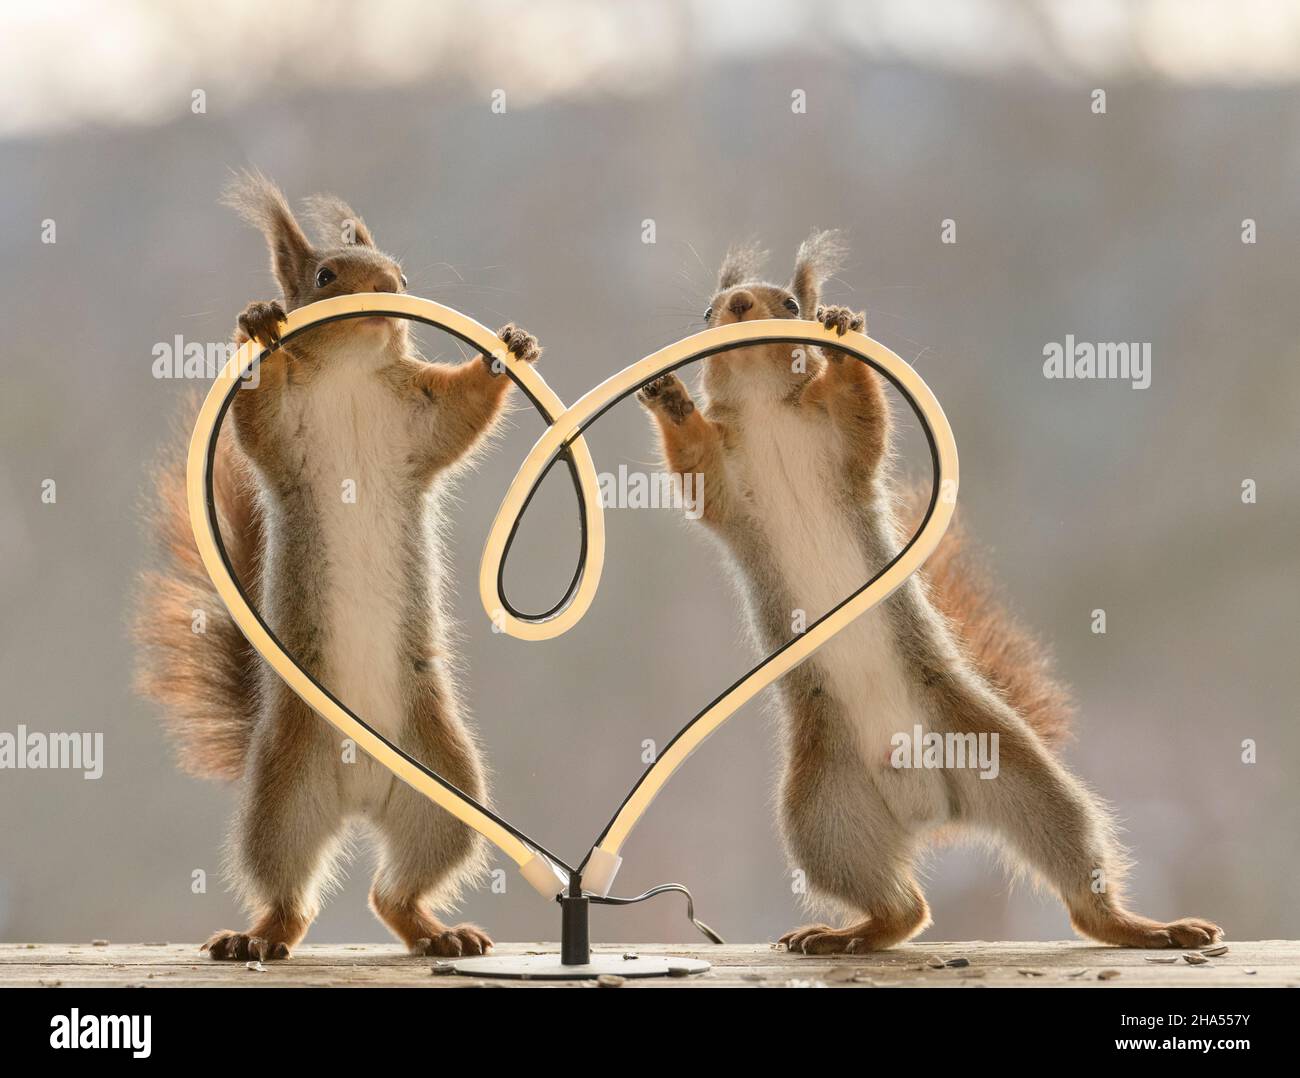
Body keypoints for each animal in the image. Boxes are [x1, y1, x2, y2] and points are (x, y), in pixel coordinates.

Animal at [134, 172, 540, 960]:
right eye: (324, 278)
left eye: (402, 274)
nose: (388, 291)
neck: (352, 376)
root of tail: (358, 796)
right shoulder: (284, 429)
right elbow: (258, 411)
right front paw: (258, 321)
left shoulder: (420, 417)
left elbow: (461, 414)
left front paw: (510, 348)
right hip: (280, 803)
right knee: (290, 893)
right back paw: (257, 937)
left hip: (446, 791)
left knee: (395, 893)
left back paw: (437, 932)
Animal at [637, 231, 1222, 952]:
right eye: (709, 311)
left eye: (790, 304)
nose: (740, 305)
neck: (764, 406)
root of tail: (928, 808)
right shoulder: (725, 479)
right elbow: (697, 470)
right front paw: (669, 397)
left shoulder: (841, 445)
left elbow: (863, 416)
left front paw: (843, 331)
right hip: (825, 815)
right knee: (902, 908)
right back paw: (848, 933)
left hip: (1013, 770)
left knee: (1070, 872)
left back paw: (1146, 927)